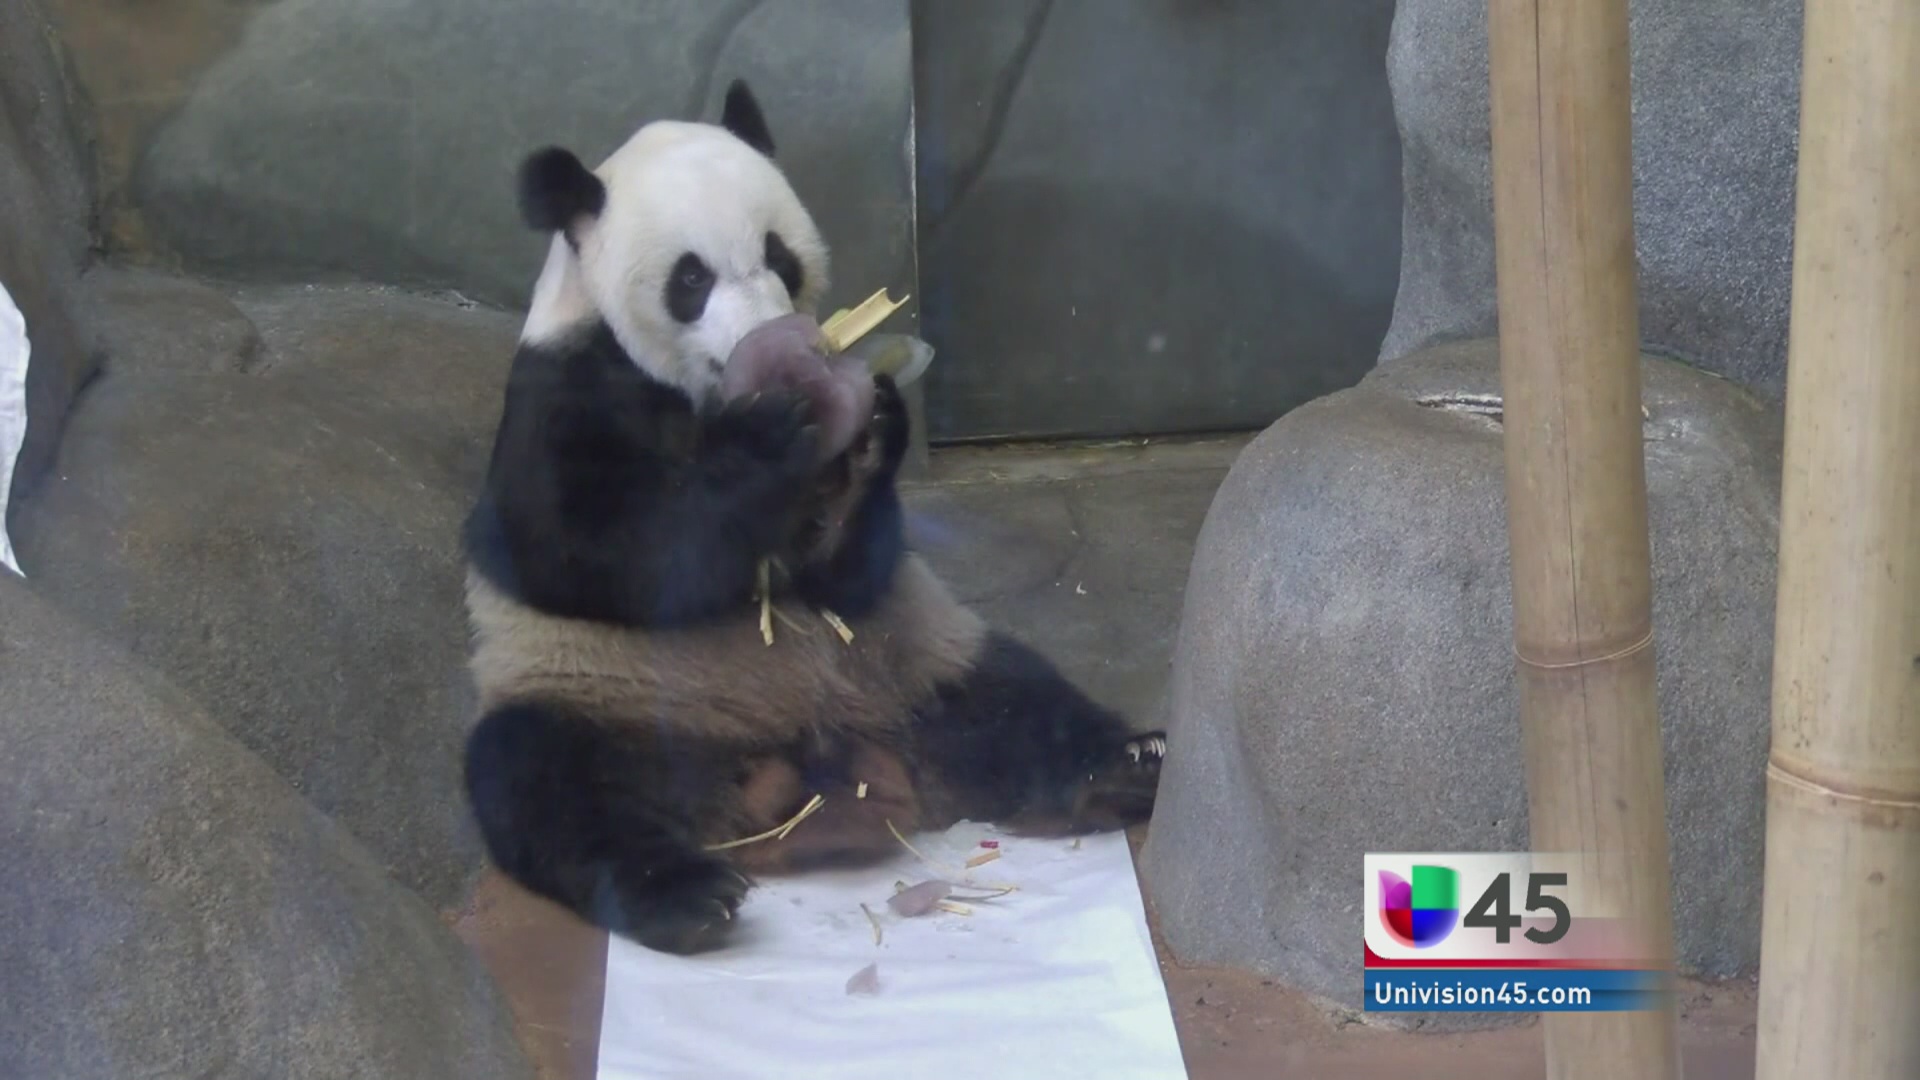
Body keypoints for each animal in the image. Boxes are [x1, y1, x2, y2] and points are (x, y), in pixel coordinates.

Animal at [460, 79, 1167, 956]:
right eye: (689, 279)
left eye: (779, 256)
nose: (774, 337)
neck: (704, 392)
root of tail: (806, 775)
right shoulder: (563, 391)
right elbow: (595, 549)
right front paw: (771, 433)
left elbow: (848, 575)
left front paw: (871, 435)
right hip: (593, 695)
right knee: (551, 787)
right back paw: (686, 894)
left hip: (918, 664)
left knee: (1017, 702)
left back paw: (1126, 766)